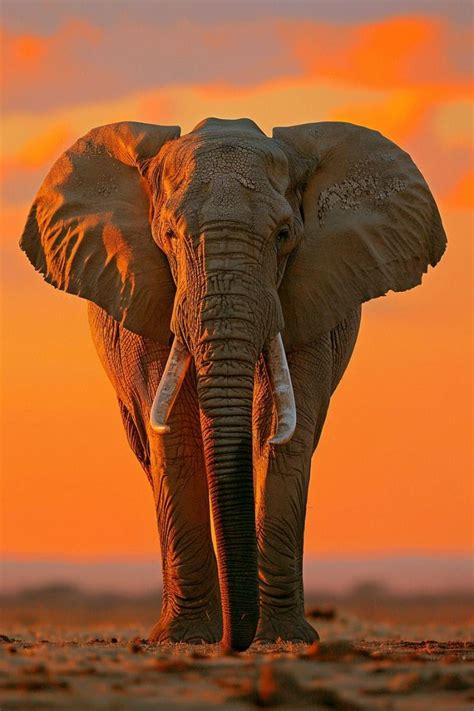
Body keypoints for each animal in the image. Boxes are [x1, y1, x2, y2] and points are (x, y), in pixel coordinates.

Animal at [20, 117, 446, 652]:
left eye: (284, 234)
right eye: (169, 235)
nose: (233, 643)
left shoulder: (309, 296)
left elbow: (279, 436)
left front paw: (285, 638)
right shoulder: (146, 296)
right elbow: (176, 436)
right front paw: (184, 639)